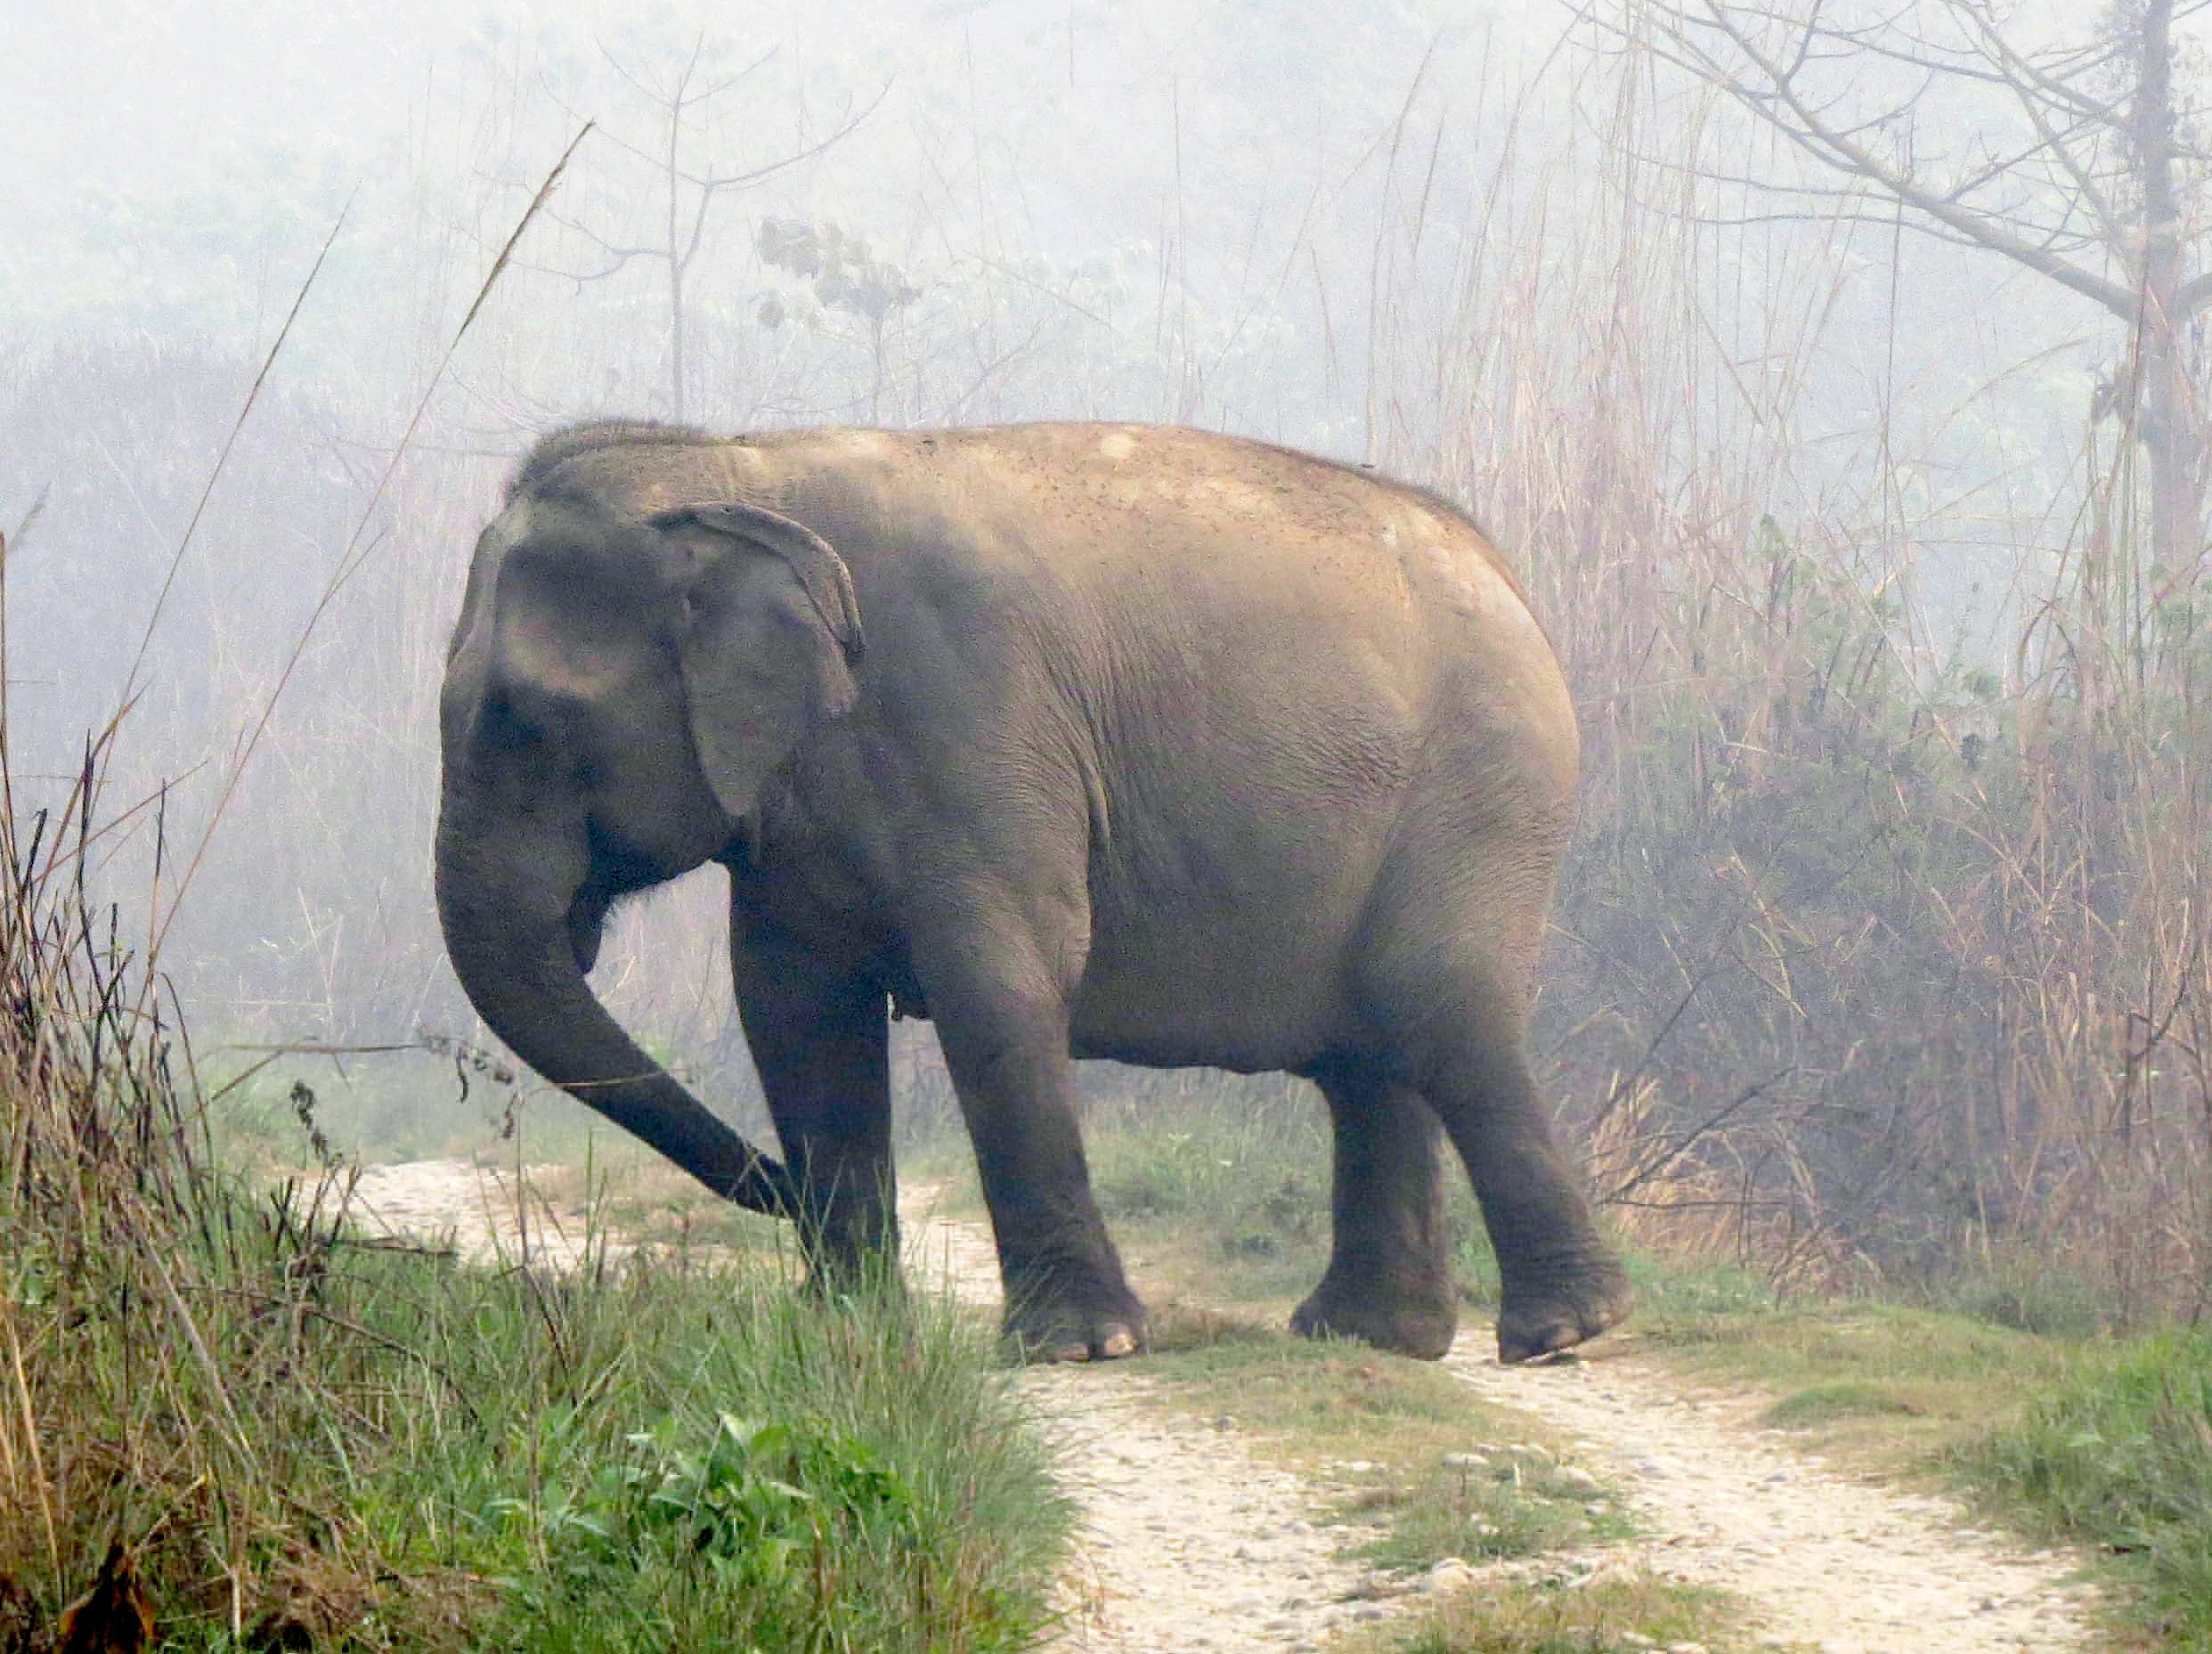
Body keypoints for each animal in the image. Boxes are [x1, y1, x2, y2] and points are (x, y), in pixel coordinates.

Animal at [433, 419, 1632, 1364]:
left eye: (521, 722)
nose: (774, 1188)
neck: (739, 464)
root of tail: (1508, 576)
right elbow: (795, 1015)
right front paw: (848, 1332)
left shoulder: (977, 723)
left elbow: (1001, 986)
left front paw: (1079, 1350)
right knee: (1371, 1056)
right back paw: (1369, 1336)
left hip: (1483, 790)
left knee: (1439, 1011)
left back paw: (1561, 1333)